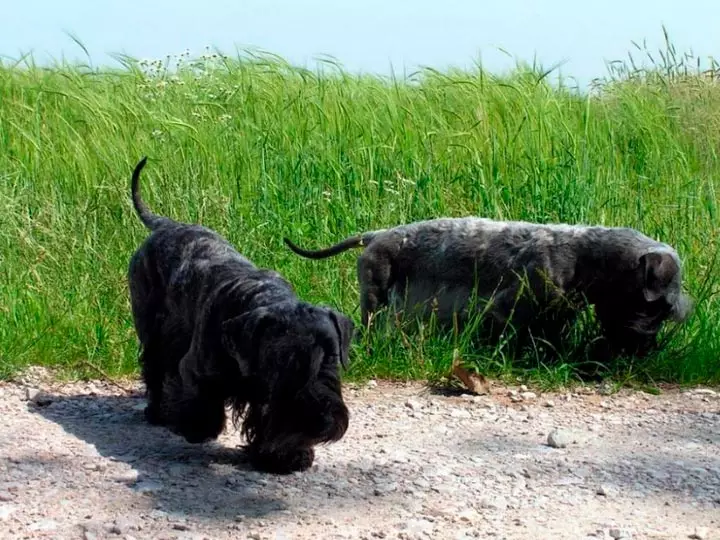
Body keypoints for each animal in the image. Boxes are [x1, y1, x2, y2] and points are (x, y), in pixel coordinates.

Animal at [129, 156, 358, 472]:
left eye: (332, 356)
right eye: (283, 359)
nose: (320, 422)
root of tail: (166, 225)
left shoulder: (264, 395)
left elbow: (265, 419)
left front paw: (286, 455)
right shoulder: (195, 368)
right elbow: (202, 398)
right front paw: (197, 427)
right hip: (152, 330)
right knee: (154, 367)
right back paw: (157, 412)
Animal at [282, 217, 692, 356]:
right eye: (657, 305)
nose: (646, 350)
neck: (585, 256)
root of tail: (375, 235)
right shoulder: (510, 308)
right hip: (375, 294)